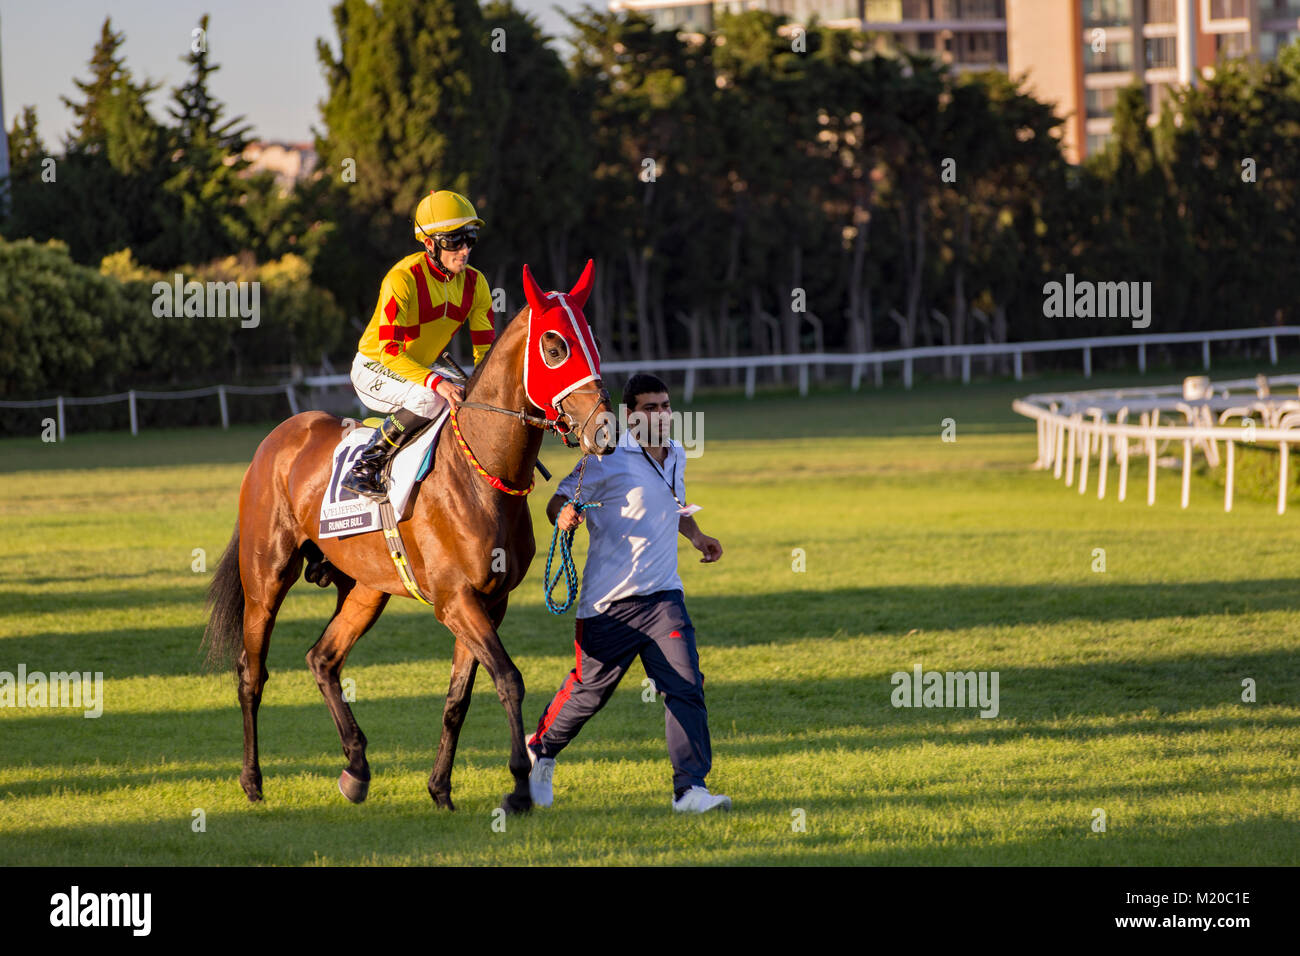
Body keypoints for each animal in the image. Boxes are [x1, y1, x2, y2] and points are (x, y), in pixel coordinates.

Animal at [201, 261, 615, 814]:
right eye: (554, 346)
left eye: (593, 339)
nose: (605, 429)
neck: (480, 472)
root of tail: (277, 439)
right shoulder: (455, 600)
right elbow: (509, 679)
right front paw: (519, 787)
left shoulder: (489, 602)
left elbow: (458, 699)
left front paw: (440, 788)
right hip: (266, 578)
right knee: (252, 673)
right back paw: (252, 779)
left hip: (366, 588)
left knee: (323, 658)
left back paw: (356, 768)